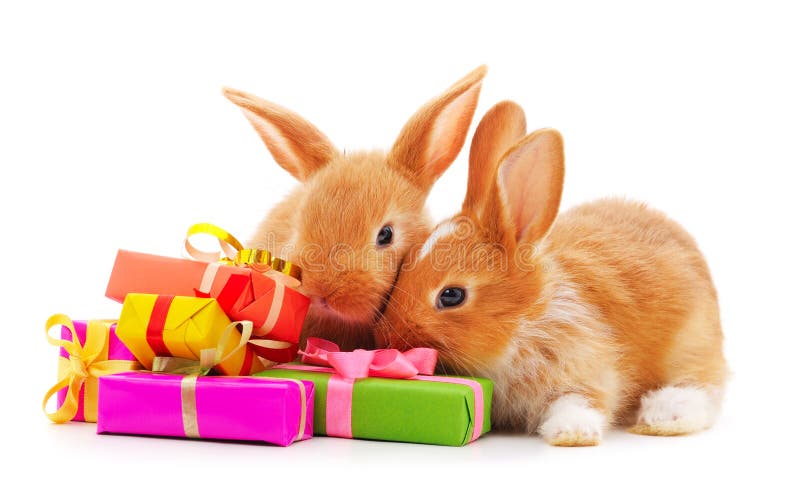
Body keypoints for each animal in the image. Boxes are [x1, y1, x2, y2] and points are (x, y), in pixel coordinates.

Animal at [375, 100, 728, 446]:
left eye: (451, 295)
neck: (526, 318)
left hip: (692, 345)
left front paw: (572, 433)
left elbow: (580, 400)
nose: (387, 337)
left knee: (703, 386)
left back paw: (665, 416)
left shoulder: (584, 366)